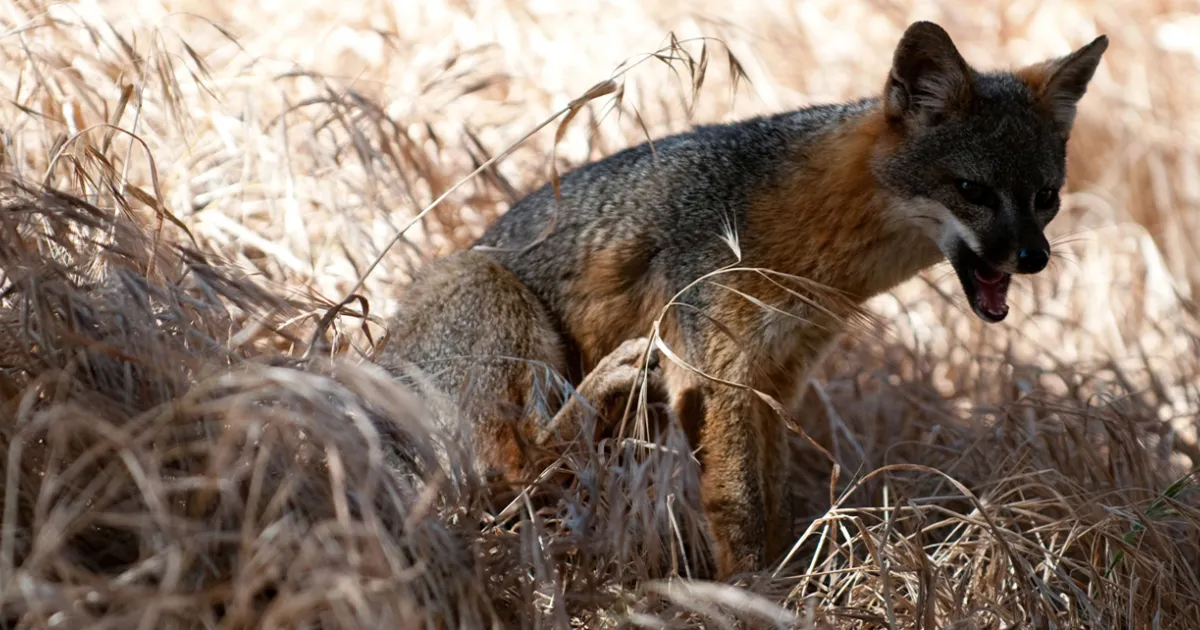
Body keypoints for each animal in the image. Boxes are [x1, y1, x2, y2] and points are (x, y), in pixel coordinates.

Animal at [377, 21, 1109, 579]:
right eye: (973, 190)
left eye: (1045, 197)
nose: (1034, 258)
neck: (813, 238)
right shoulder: (716, 372)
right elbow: (736, 503)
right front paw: (751, 591)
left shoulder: (775, 379)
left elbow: (772, 499)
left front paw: (782, 578)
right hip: (492, 296)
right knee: (509, 471)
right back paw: (607, 380)